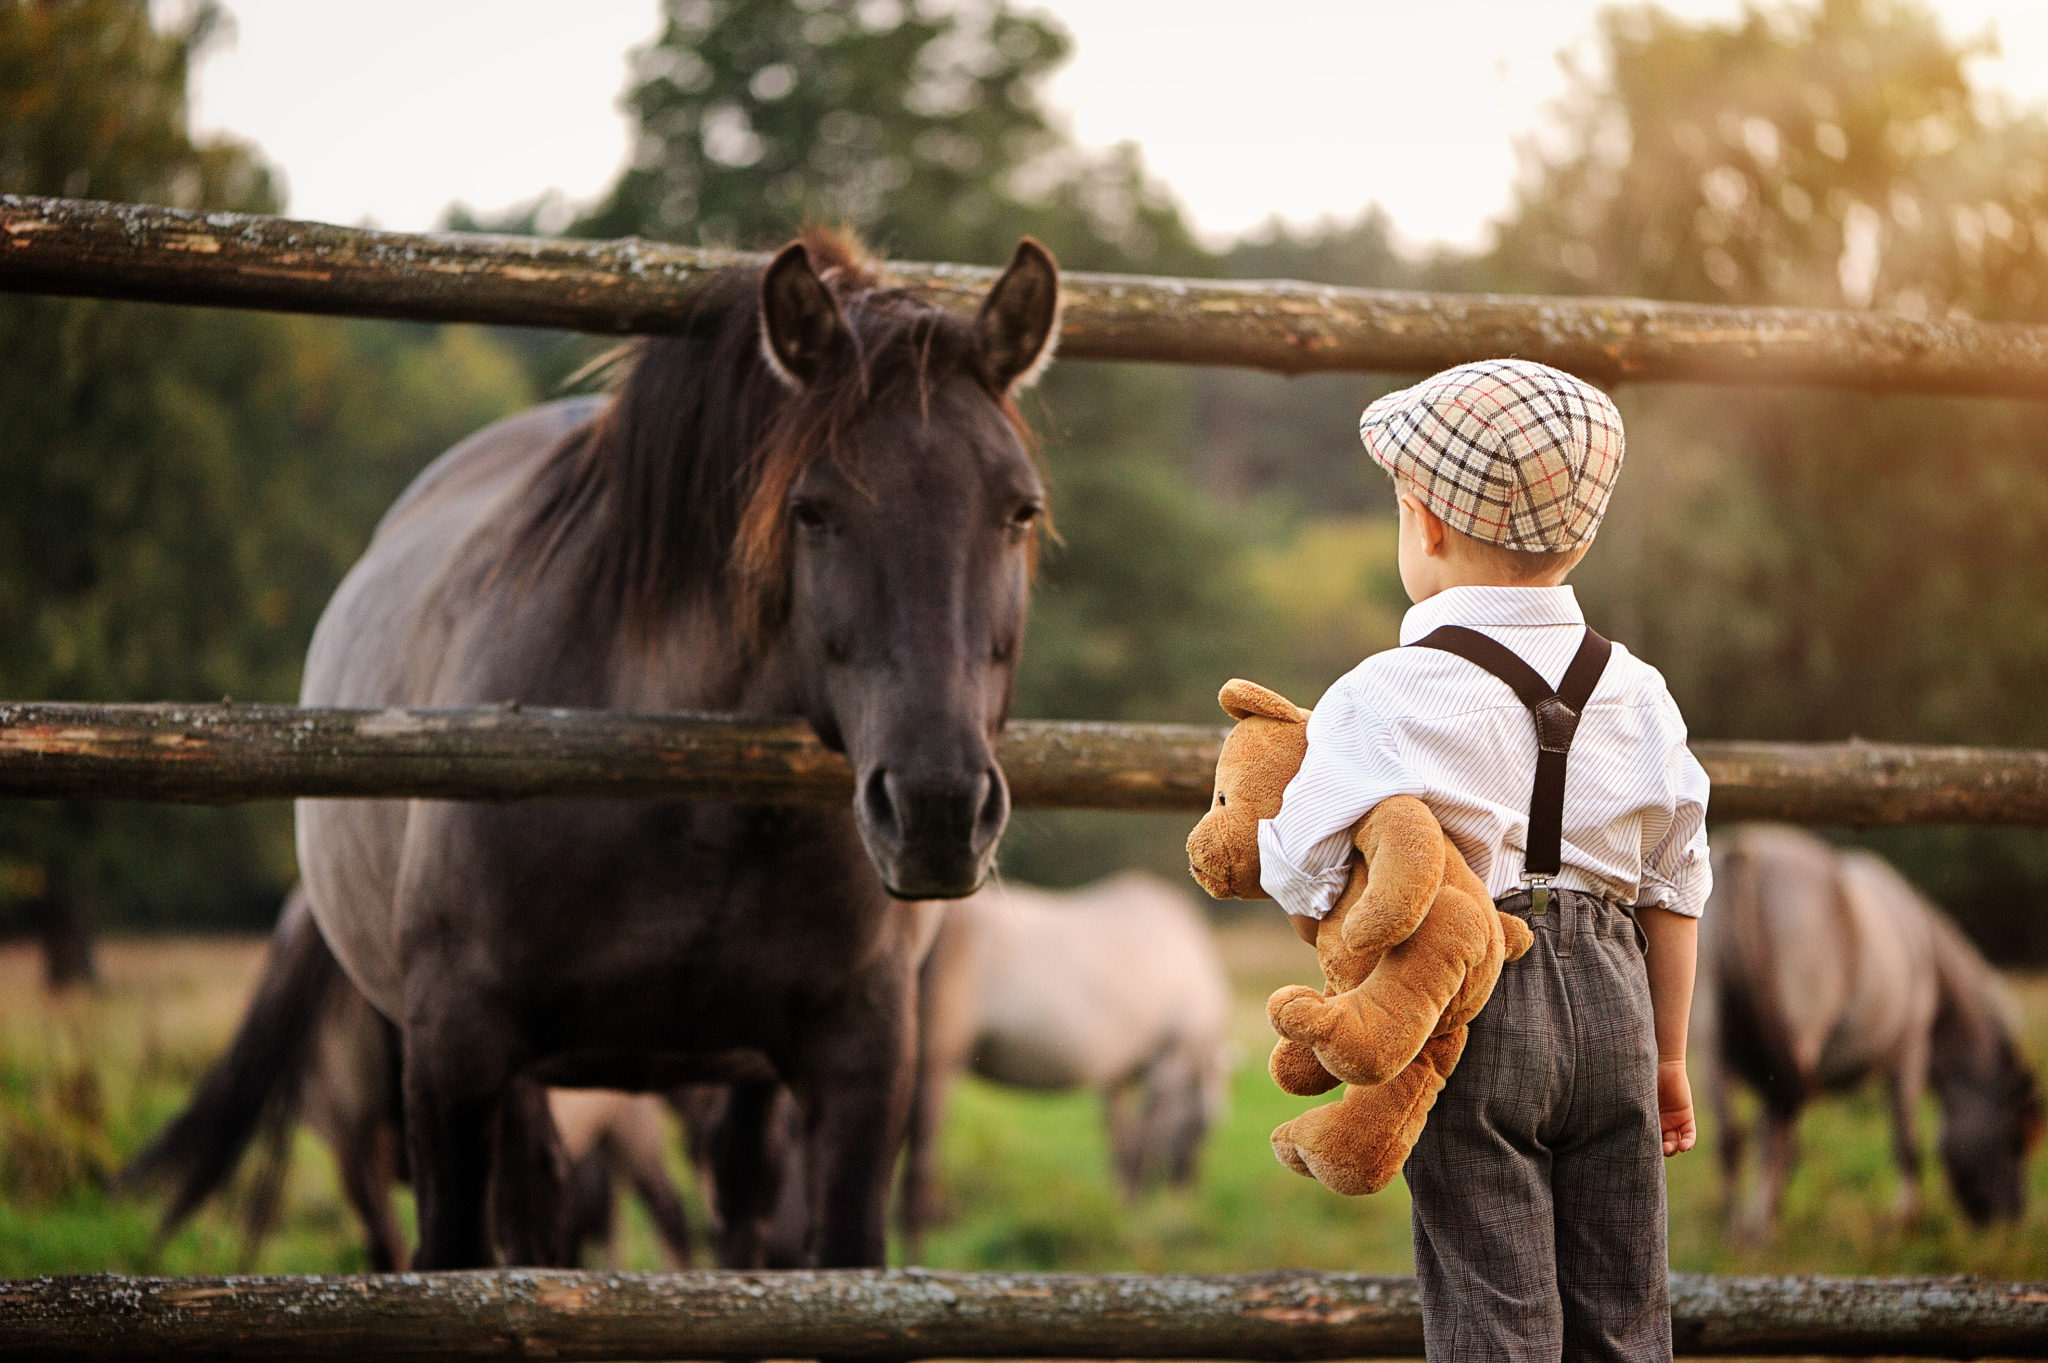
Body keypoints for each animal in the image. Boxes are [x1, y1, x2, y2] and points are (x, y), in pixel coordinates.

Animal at [281, 227, 1059, 1269]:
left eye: (1018, 509)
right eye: (811, 510)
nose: (937, 809)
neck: (678, 800)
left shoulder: (862, 1059)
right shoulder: (454, 1052)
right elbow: (453, 1252)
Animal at [900, 872, 1235, 1252]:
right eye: (1203, 1128)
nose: (1185, 1195)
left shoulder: (1116, 1076)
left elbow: (1122, 1149)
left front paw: (1122, 1213)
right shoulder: (1167, 1066)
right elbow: (1142, 1149)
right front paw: (1136, 1222)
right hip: (937, 1064)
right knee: (918, 1175)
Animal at [1696, 824, 2043, 1237]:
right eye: (2017, 1139)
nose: (2011, 1219)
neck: (1924, 950)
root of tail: (1747, 852)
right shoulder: (1910, 1053)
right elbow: (1906, 1141)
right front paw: (1905, 1218)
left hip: (1713, 1048)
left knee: (1732, 1138)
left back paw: (1736, 1226)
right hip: (1797, 1046)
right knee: (1772, 1136)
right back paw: (1760, 1228)